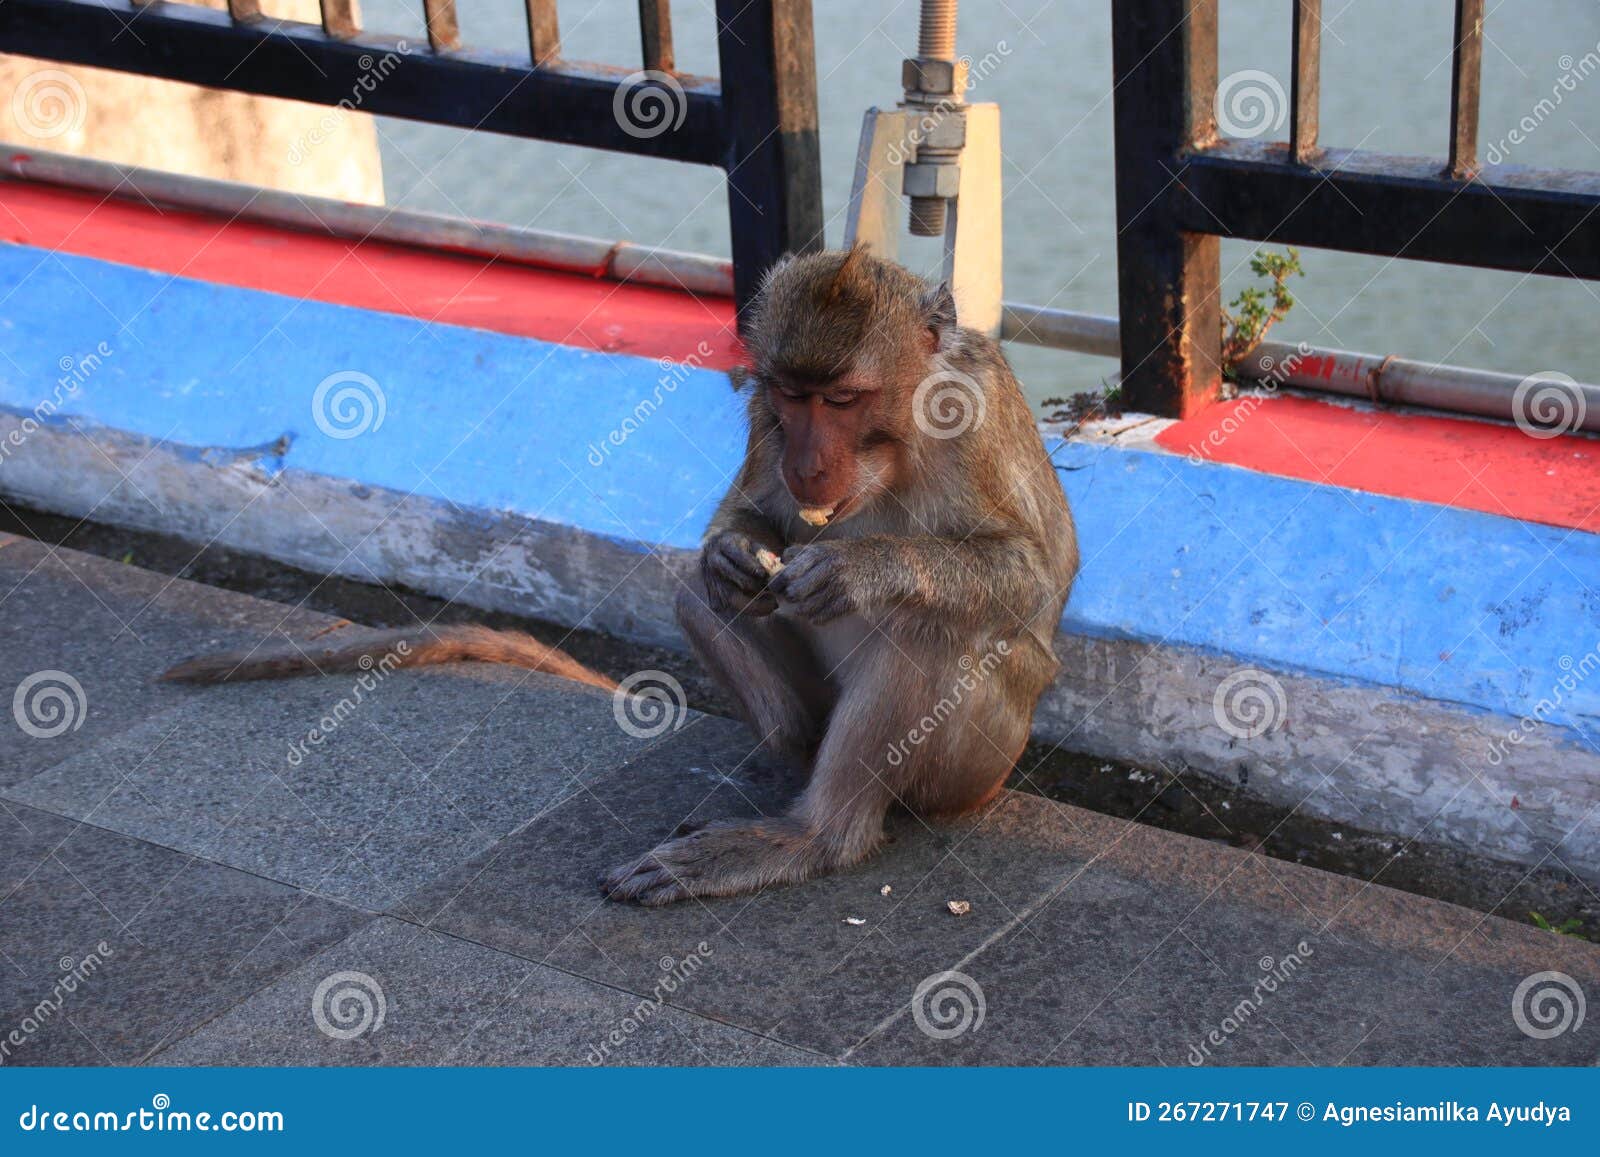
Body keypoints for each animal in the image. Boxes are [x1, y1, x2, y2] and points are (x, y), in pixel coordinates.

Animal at [599, 245, 1078, 906]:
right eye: (793, 396)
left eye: (844, 399)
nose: (806, 465)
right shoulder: (763, 413)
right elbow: (743, 522)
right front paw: (732, 554)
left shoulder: (977, 410)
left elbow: (1033, 571)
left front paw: (860, 569)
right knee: (702, 596)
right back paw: (796, 751)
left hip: (978, 767)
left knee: (934, 629)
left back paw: (815, 836)